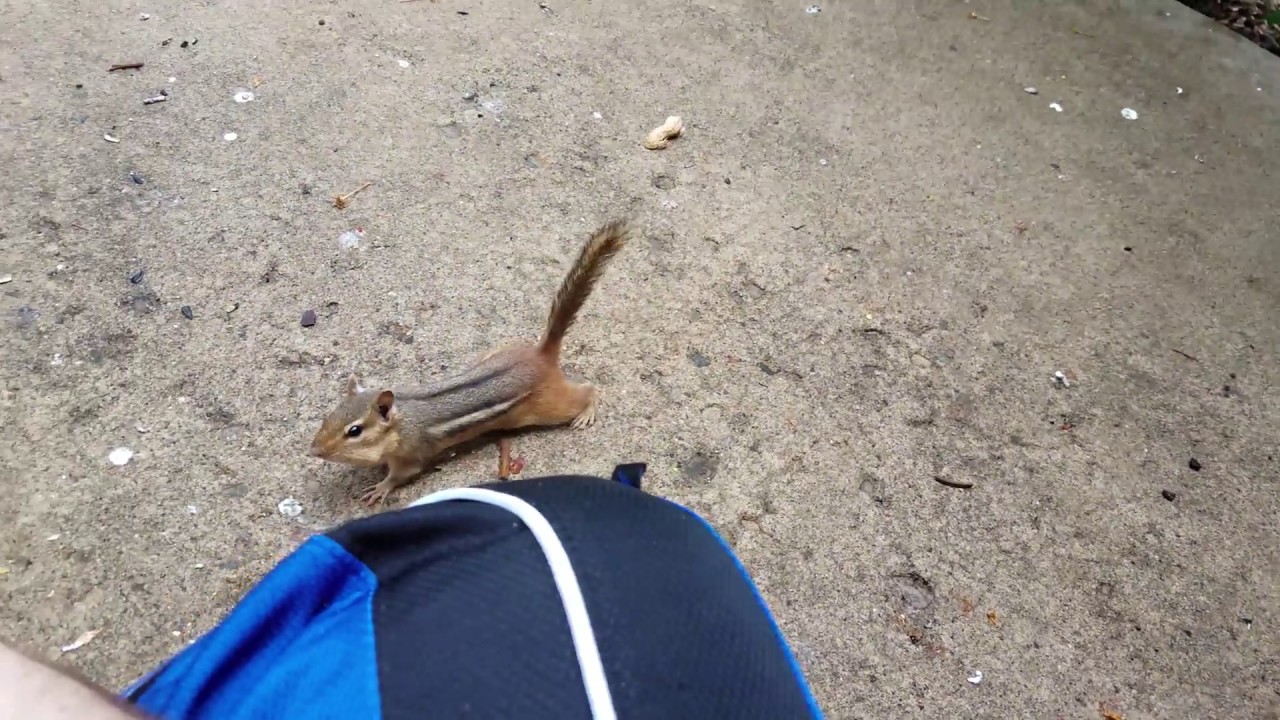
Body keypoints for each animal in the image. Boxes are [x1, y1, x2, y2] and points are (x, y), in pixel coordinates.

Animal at [309, 219, 631, 506]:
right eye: (328, 417)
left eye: (354, 431)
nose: (314, 450)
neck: (403, 420)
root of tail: (541, 354)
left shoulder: (413, 455)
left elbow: (401, 474)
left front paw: (381, 488)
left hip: (549, 407)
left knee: (586, 390)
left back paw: (586, 411)